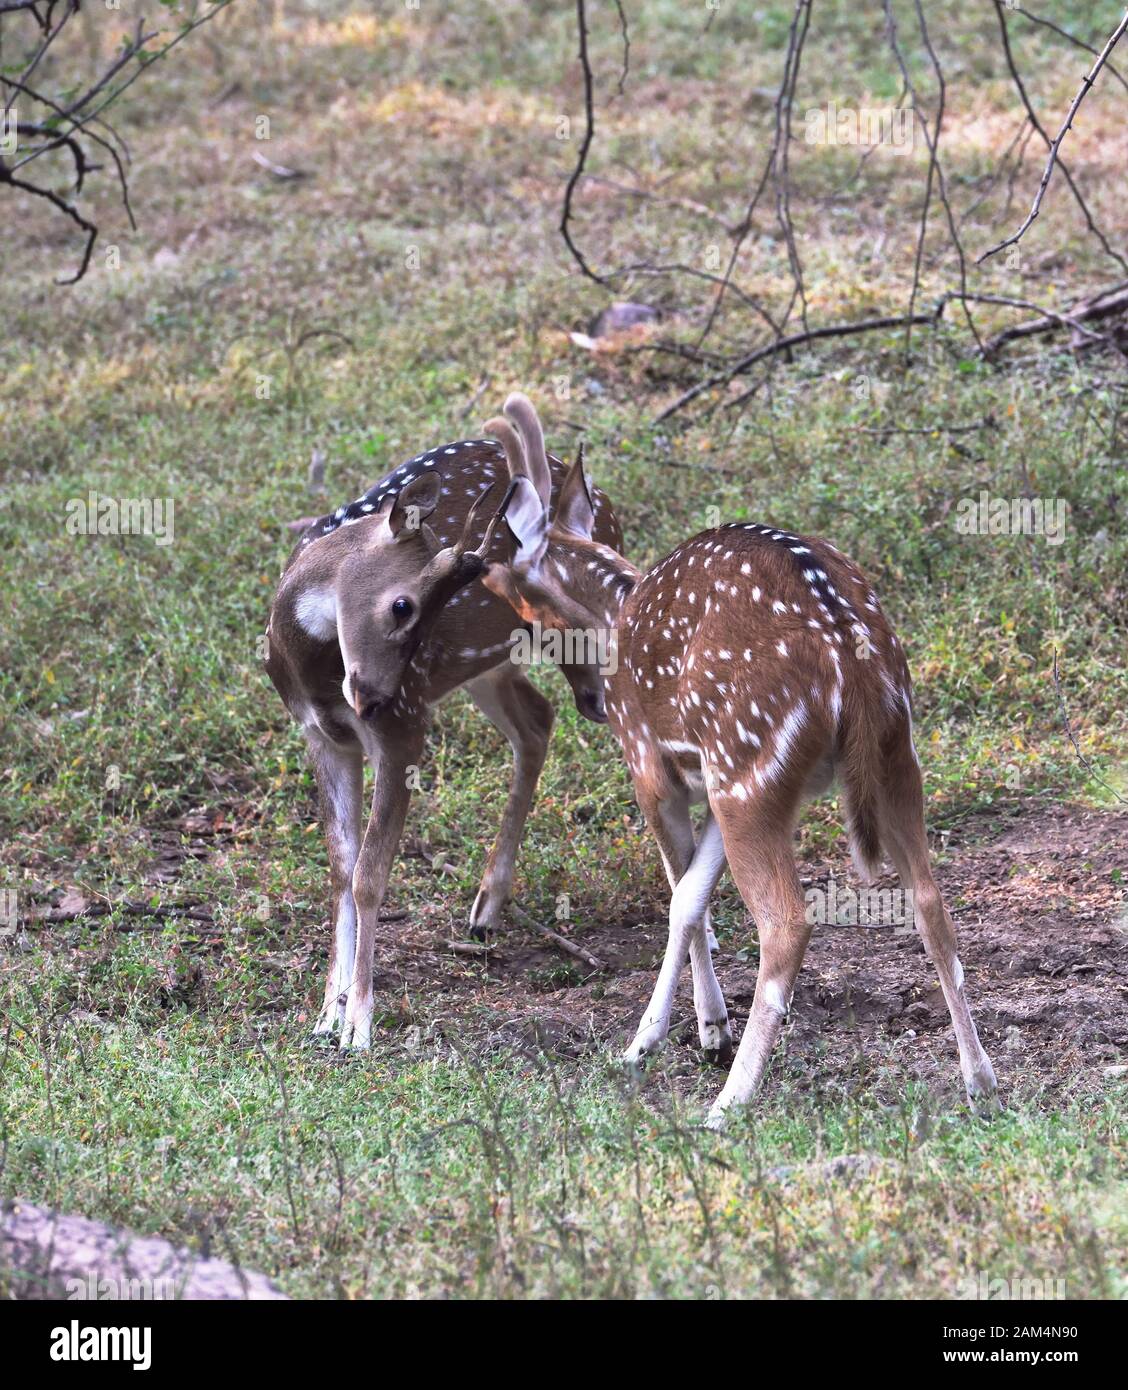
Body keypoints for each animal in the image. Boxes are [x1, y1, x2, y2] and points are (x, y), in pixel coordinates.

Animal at [265, 418, 622, 1050]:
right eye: (403, 606)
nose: (373, 698)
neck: (312, 669)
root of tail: (606, 505)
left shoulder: (404, 728)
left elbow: (370, 874)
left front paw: (359, 1025)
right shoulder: (321, 736)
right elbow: (340, 868)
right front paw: (326, 1012)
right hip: (483, 668)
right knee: (537, 719)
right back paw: (486, 907)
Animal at [481, 393, 999, 1128]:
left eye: (525, 606)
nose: (593, 704)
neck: (617, 608)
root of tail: (851, 660)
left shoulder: (653, 766)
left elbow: (680, 898)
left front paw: (683, 1036)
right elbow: (690, 897)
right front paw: (670, 1036)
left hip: (747, 770)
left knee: (786, 923)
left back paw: (729, 1102)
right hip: (895, 754)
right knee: (930, 899)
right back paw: (980, 1079)